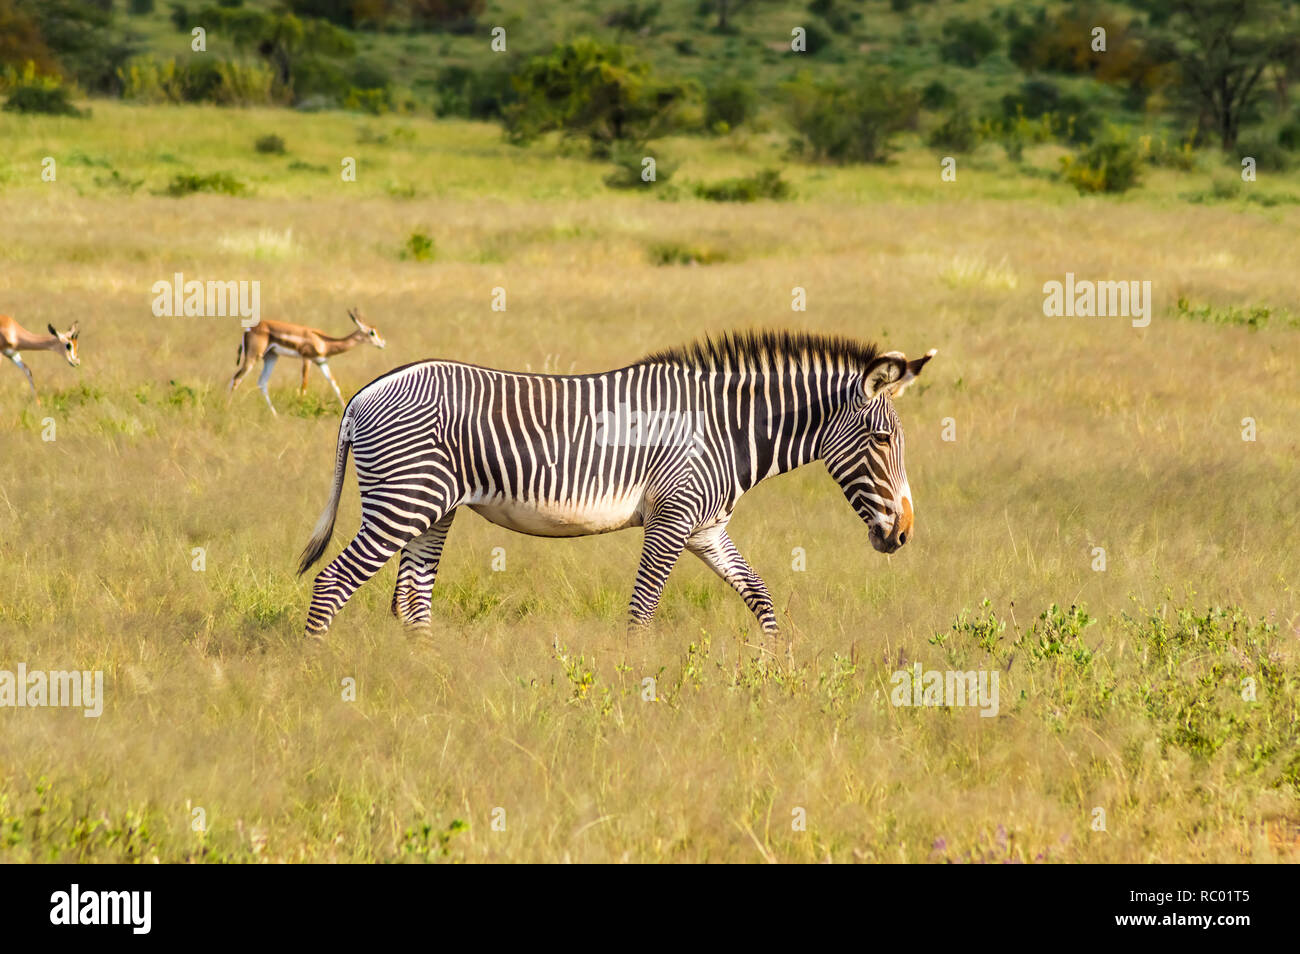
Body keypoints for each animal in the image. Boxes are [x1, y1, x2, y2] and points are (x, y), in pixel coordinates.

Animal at [297, 331, 936, 638]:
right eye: (883, 440)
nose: (905, 534)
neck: (726, 430)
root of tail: (364, 393)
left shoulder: (706, 528)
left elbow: (760, 595)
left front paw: (775, 671)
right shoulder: (672, 518)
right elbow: (642, 612)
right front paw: (636, 692)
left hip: (433, 508)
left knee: (412, 602)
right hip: (402, 502)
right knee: (333, 583)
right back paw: (316, 670)